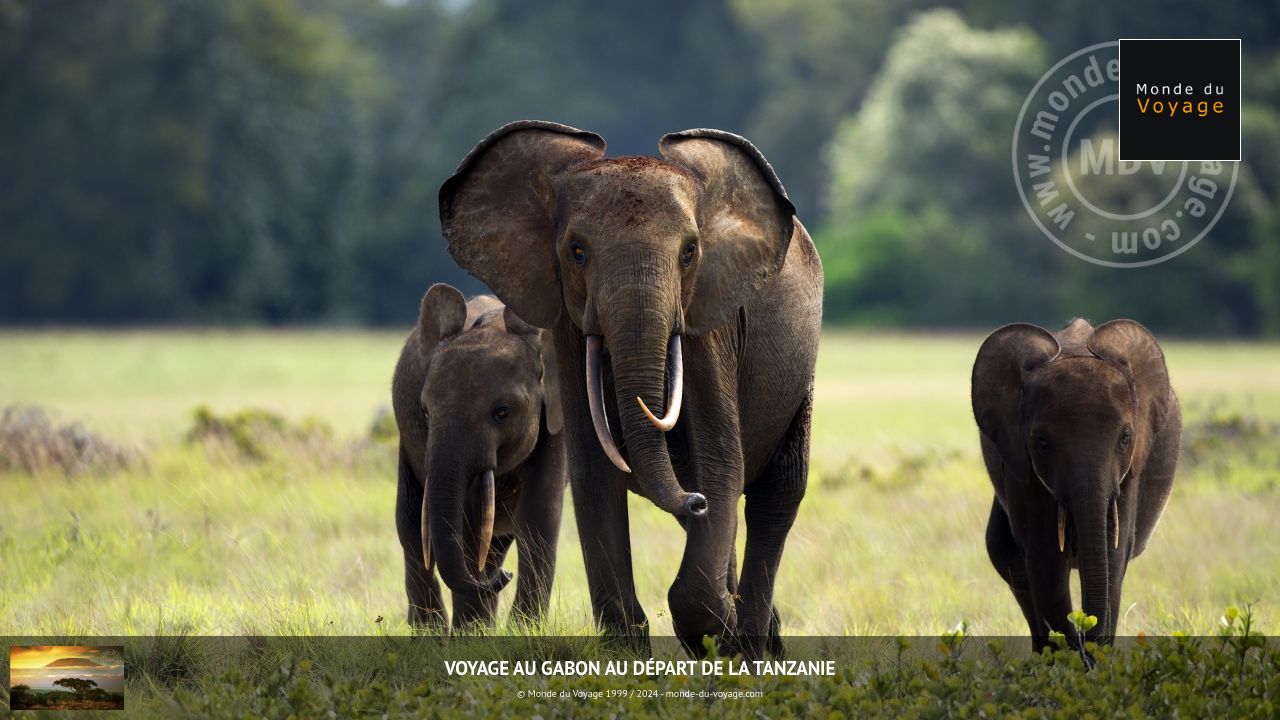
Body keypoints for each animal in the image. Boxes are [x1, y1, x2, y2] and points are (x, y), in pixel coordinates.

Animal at [391, 281, 568, 627]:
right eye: (426, 413)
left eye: (502, 412)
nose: (504, 577)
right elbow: (467, 520)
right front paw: (472, 632)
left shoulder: (559, 419)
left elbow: (538, 513)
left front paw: (524, 629)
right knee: (410, 521)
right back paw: (431, 629)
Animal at [972, 317, 1182, 645]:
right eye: (1042, 443)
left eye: (1125, 439)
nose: (1086, 636)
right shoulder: (1023, 468)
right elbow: (1045, 559)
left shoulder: (1130, 473)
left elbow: (1112, 555)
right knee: (1008, 559)